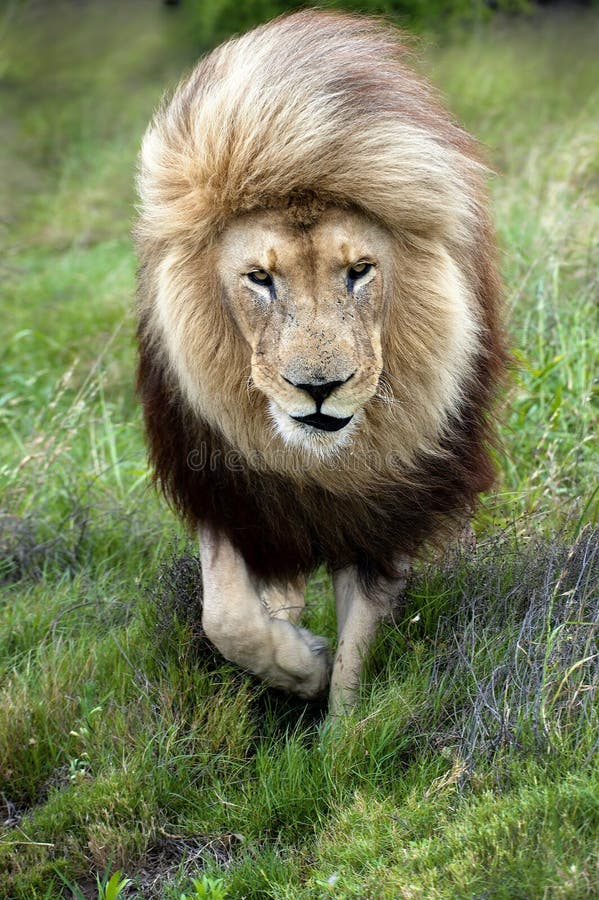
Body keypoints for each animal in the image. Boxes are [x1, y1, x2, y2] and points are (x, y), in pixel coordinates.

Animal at [135, 11, 505, 712]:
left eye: (359, 270)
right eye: (259, 278)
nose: (319, 389)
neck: (317, 461)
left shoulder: (379, 510)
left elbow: (357, 658)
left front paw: (340, 722)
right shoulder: (225, 483)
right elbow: (225, 617)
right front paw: (301, 665)